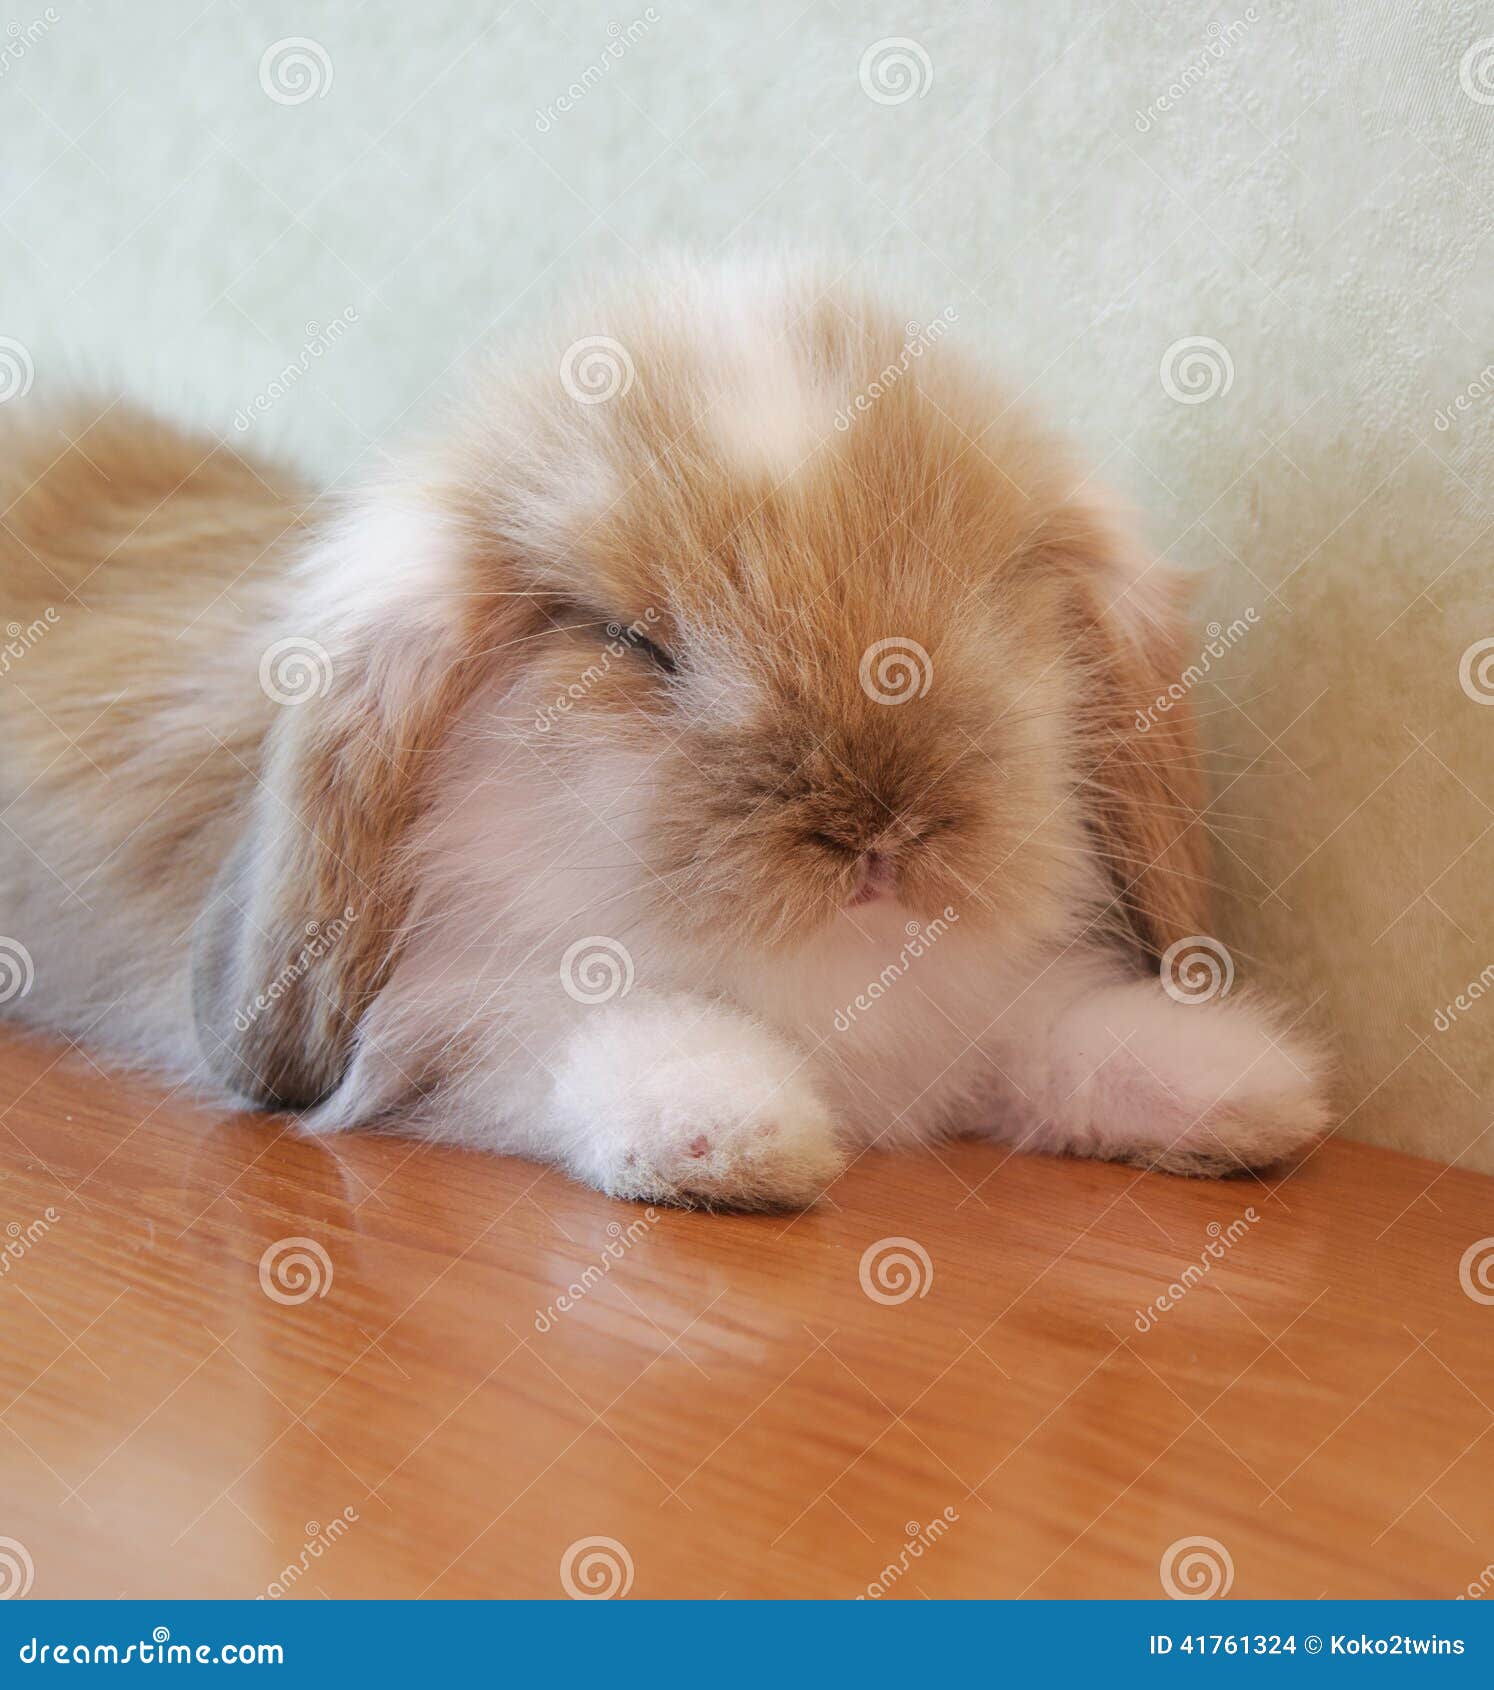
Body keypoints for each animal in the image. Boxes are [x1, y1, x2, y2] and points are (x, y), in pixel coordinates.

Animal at [0, 259, 1329, 1208]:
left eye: (997, 591)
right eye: (633, 642)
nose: (880, 833)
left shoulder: (984, 1014)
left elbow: (1057, 1030)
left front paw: (1239, 1090)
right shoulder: (464, 1019)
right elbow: (602, 1027)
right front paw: (736, 1133)